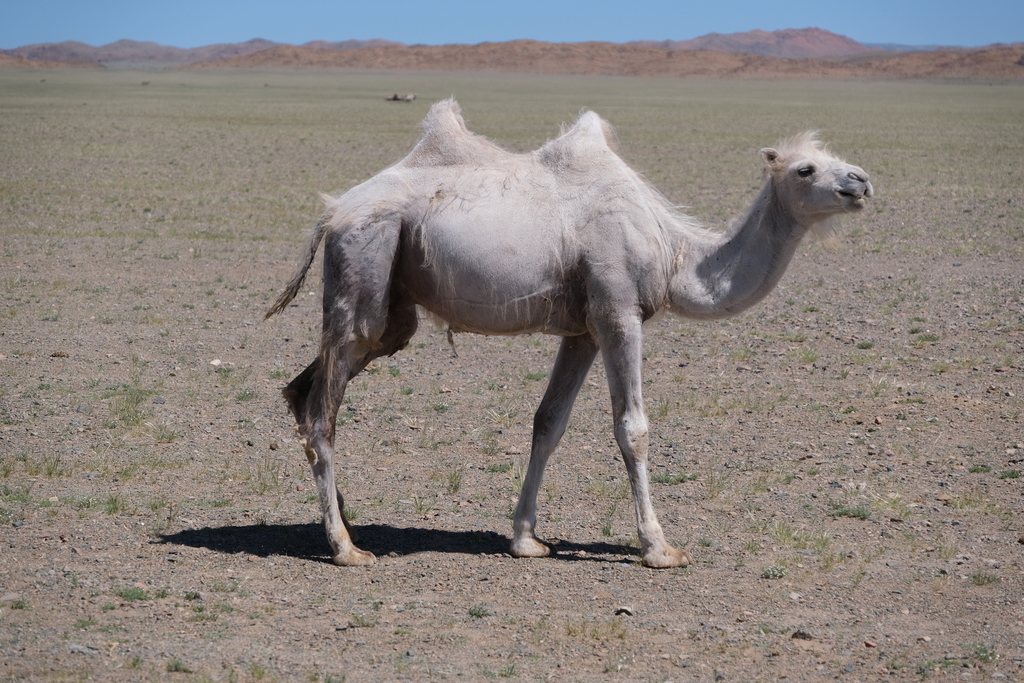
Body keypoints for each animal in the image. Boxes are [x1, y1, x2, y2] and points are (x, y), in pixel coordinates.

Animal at [265, 99, 872, 568]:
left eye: (837, 160)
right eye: (805, 169)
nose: (861, 181)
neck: (674, 254)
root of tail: (332, 213)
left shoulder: (583, 331)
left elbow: (548, 423)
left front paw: (526, 539)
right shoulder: (618, 311)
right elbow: (633, 429)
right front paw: (659, 548)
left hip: (394, 309)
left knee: (303, 390)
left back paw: (344, 521)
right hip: (363, 266)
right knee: (323, 409)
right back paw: (345, 548)